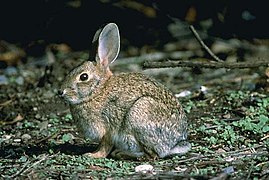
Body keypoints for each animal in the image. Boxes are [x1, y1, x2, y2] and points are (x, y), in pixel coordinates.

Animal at [58, 22, 189, 159]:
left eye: (84, 77)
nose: (60, 92)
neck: (97, 91)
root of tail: (174, 144)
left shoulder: (107, 130)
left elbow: (105, 146)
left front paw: (92, 155)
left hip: (139, 114)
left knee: (151, 155)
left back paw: (122, 153)